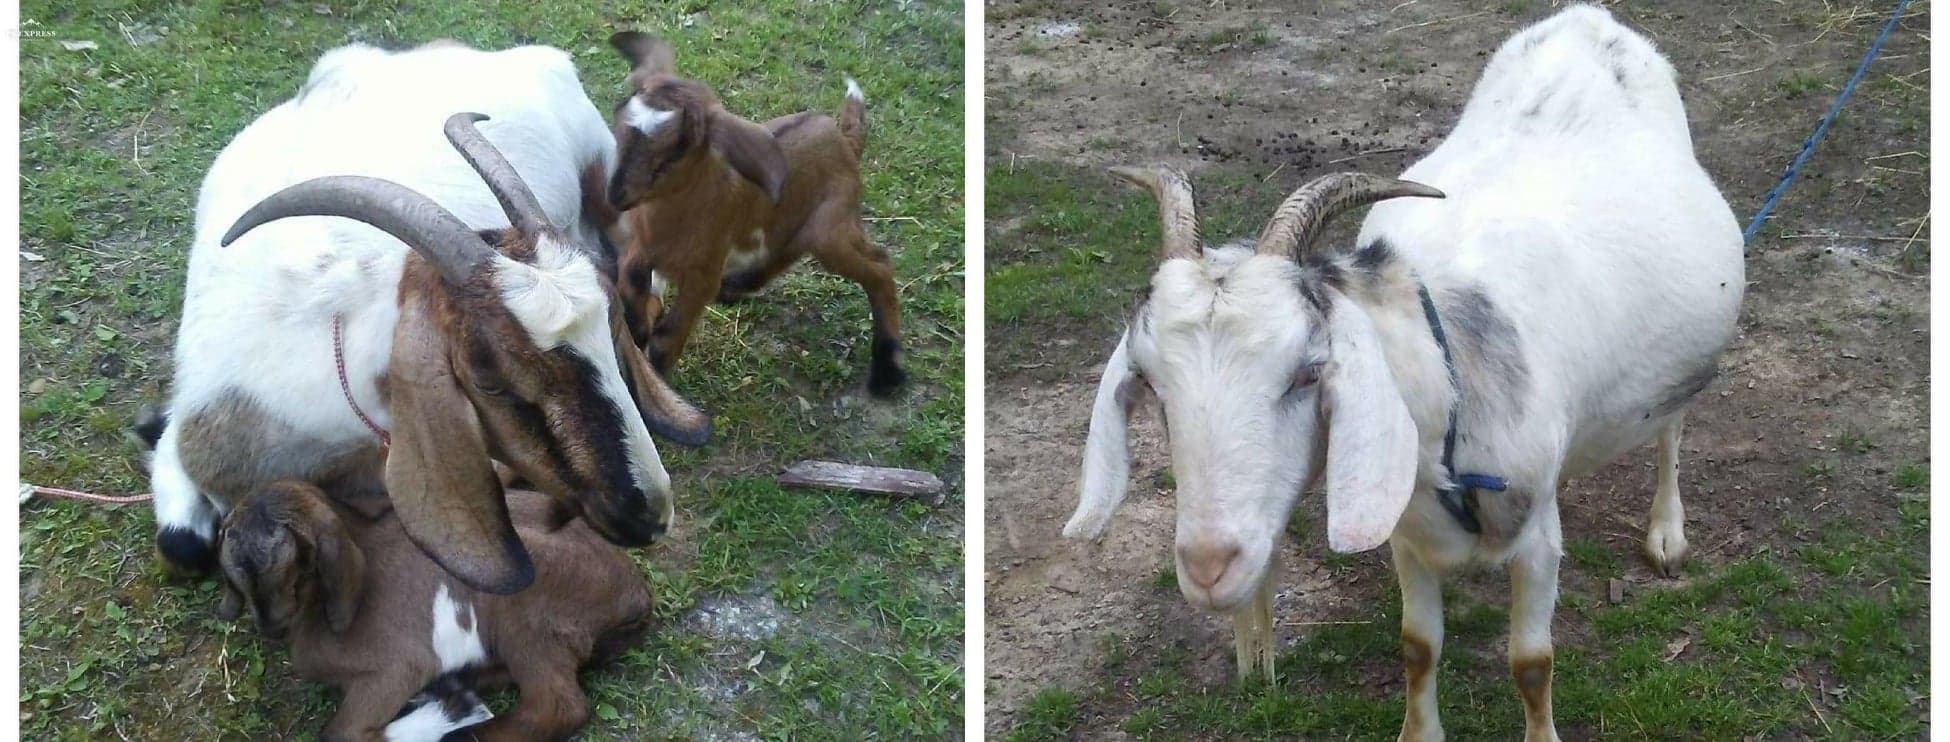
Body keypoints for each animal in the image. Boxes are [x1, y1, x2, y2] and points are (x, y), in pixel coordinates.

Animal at [217, 479, 651, 742]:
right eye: (239, 572)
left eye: (301, 563)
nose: (271, 625)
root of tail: (636, 596)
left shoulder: (400, 664)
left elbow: (341, 732)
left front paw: (451, 714)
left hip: (525, 598)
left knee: (558, 705)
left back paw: (465, 729)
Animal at [603, 31, 907, 397]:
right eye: (619, 115)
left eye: (675, 153)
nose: (616, 195)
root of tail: (846, 142)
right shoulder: (640, 246)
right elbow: (632, 279)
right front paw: (637, 329)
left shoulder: (703, 274)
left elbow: (668, 337)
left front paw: (656, 374)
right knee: (787, 247)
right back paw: (736, 287)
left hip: (833, 227)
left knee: (879, 266)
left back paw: (887, 370)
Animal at [1065, 7, 1742, 740]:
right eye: (1152, 384)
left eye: (1307, 374)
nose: (1209, 567)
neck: (1452, 384)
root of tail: (1586, 20)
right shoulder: (1406, 534)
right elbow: (1418, 646)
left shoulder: (1537, 538)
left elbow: (1531, 662)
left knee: (1671, 427)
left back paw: (1667, 533)